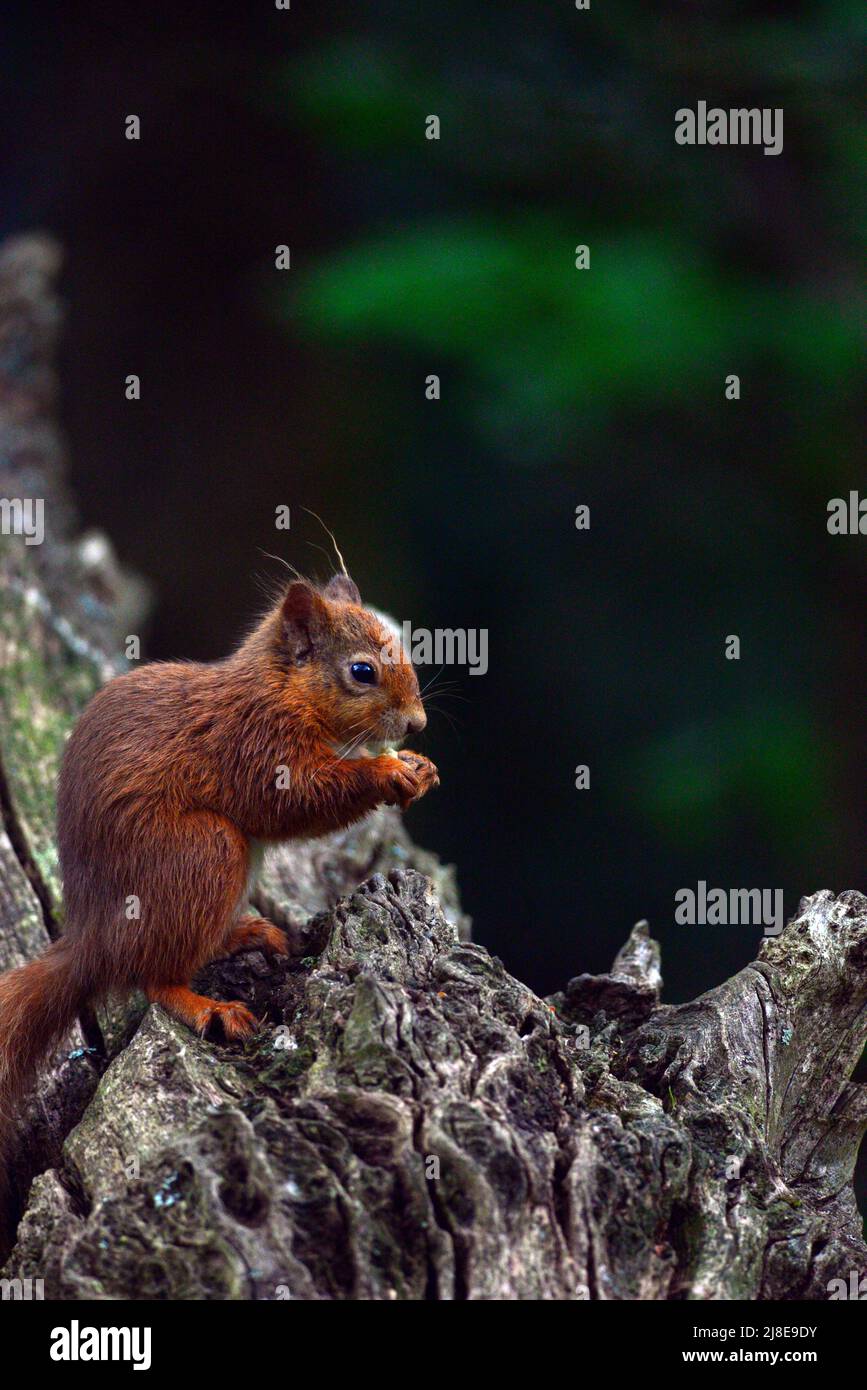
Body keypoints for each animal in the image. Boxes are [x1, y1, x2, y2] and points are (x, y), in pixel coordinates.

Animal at [0, 572, 438, 1189]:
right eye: (362, 671)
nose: (416, 723)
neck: (282, 690)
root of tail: (92, 941)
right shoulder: (256, 746)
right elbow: (298, 801)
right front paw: (387, 771)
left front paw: (418, 765)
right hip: (206, 852)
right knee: (153, 977)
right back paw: (207, 1006)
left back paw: (245, 934)